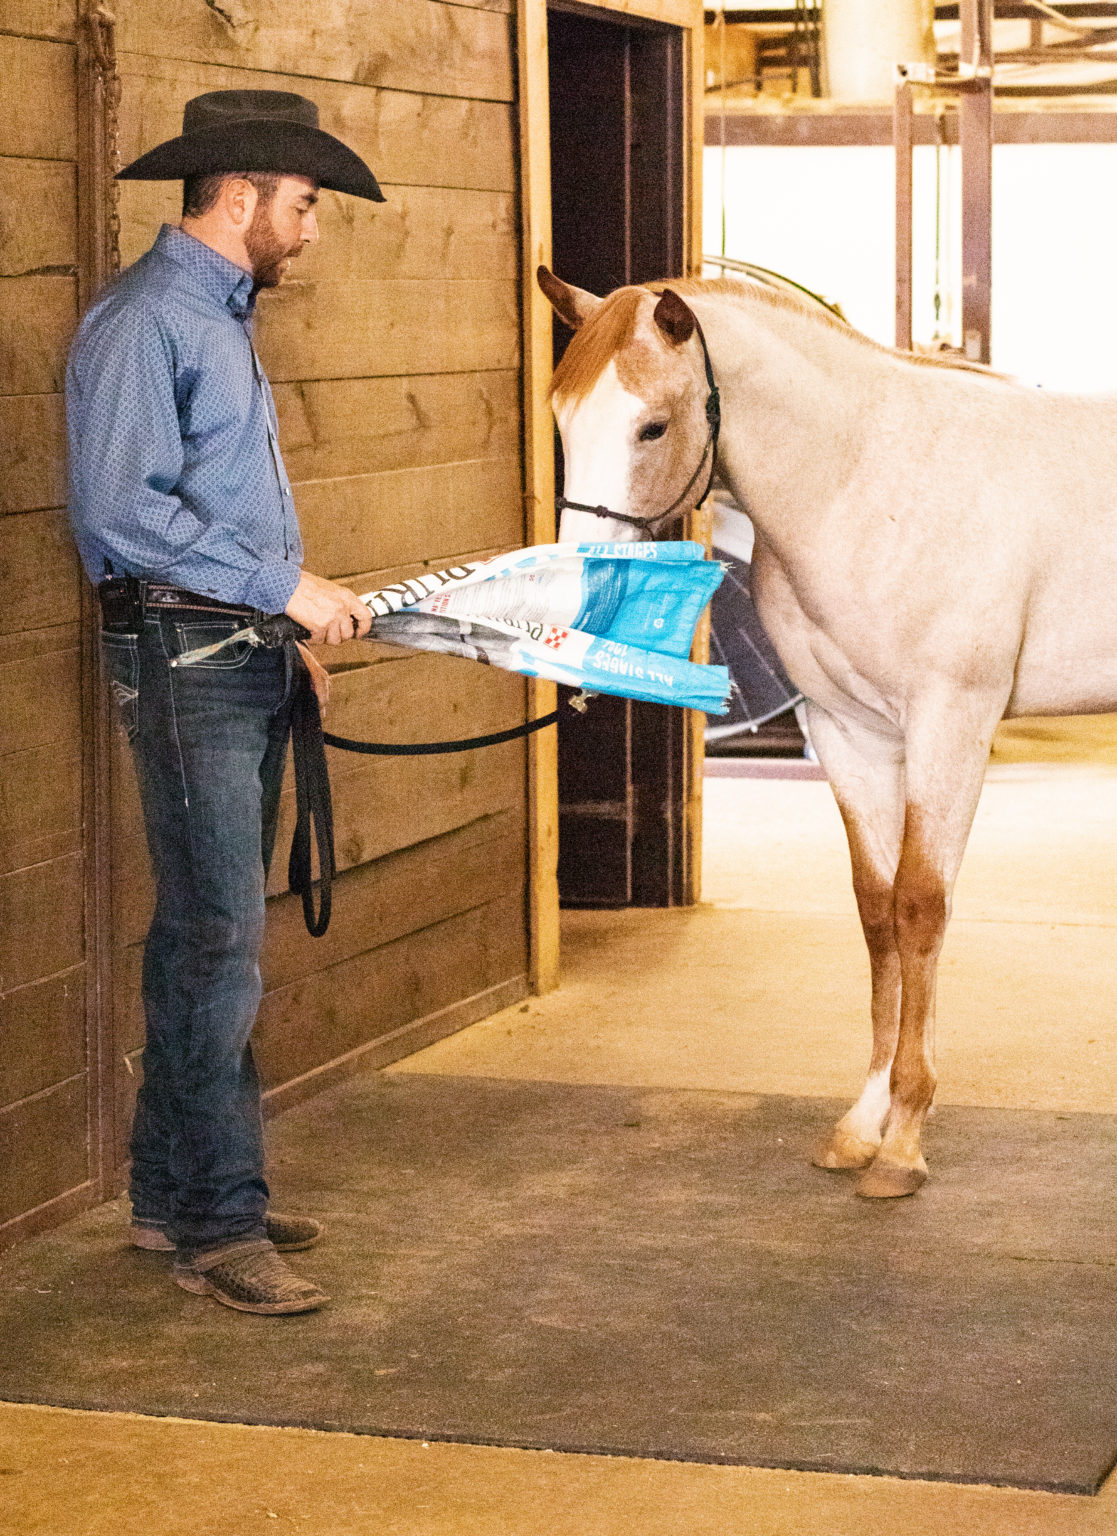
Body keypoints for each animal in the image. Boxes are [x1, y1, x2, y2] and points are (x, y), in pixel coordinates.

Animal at [538, 264, 1117, 1199]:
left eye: (651, 425)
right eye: (559, 417)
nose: (570, 599)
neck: (869, 487)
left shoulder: (950, 720)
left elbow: (922, 905)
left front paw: (905, 1141)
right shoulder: (845, 730)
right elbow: (877, 911)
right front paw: (862, 1125)